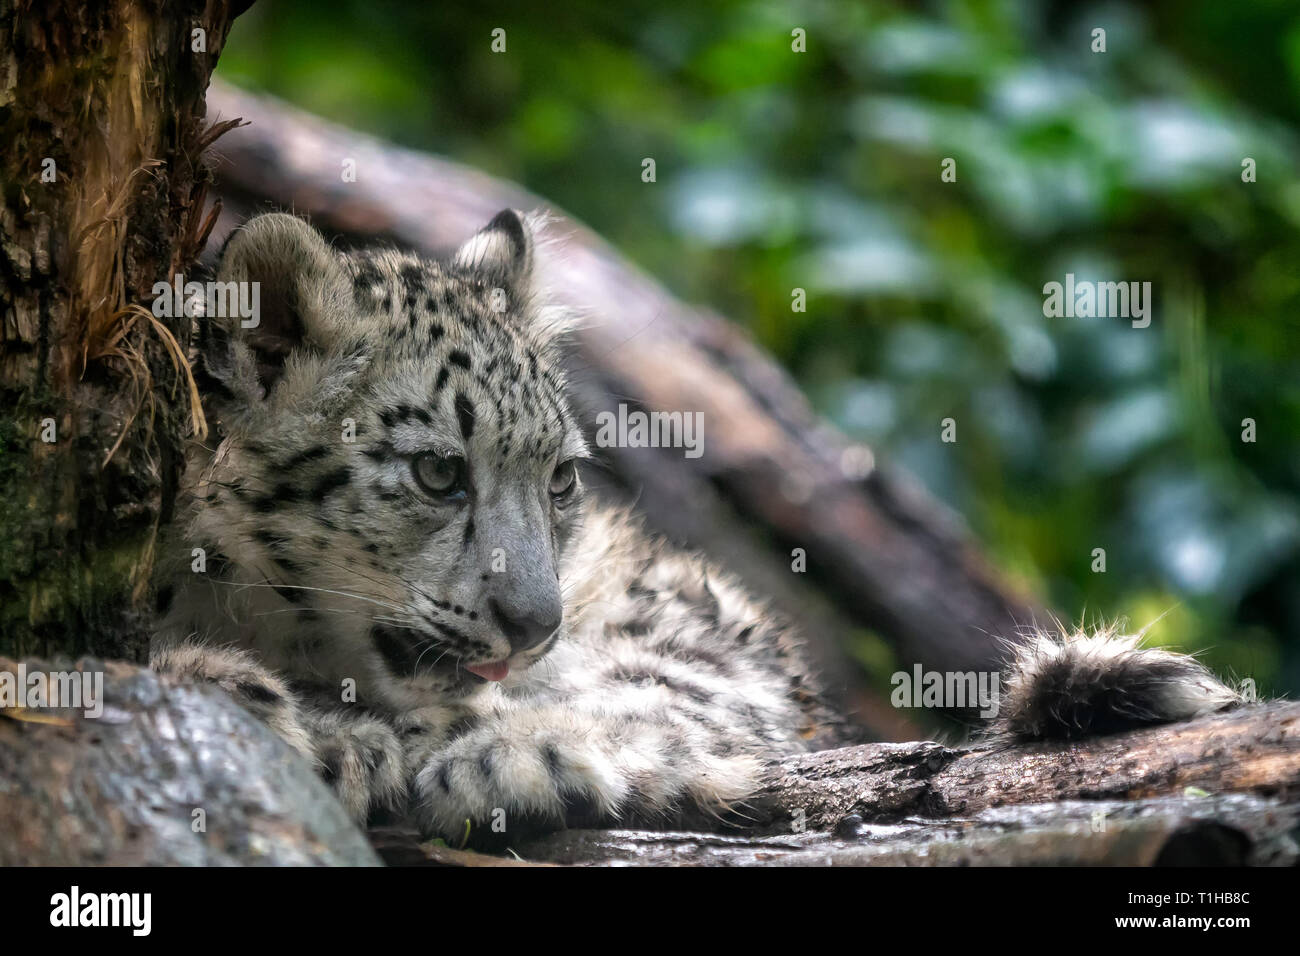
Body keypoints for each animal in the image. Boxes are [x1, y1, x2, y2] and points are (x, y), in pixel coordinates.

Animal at [150, 209, 1244, 843]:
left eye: (560, 477)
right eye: (436, 470)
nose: (536, 623)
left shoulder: (703, 628)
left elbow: (679, 691)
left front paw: (511, 753)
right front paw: (317, 729)